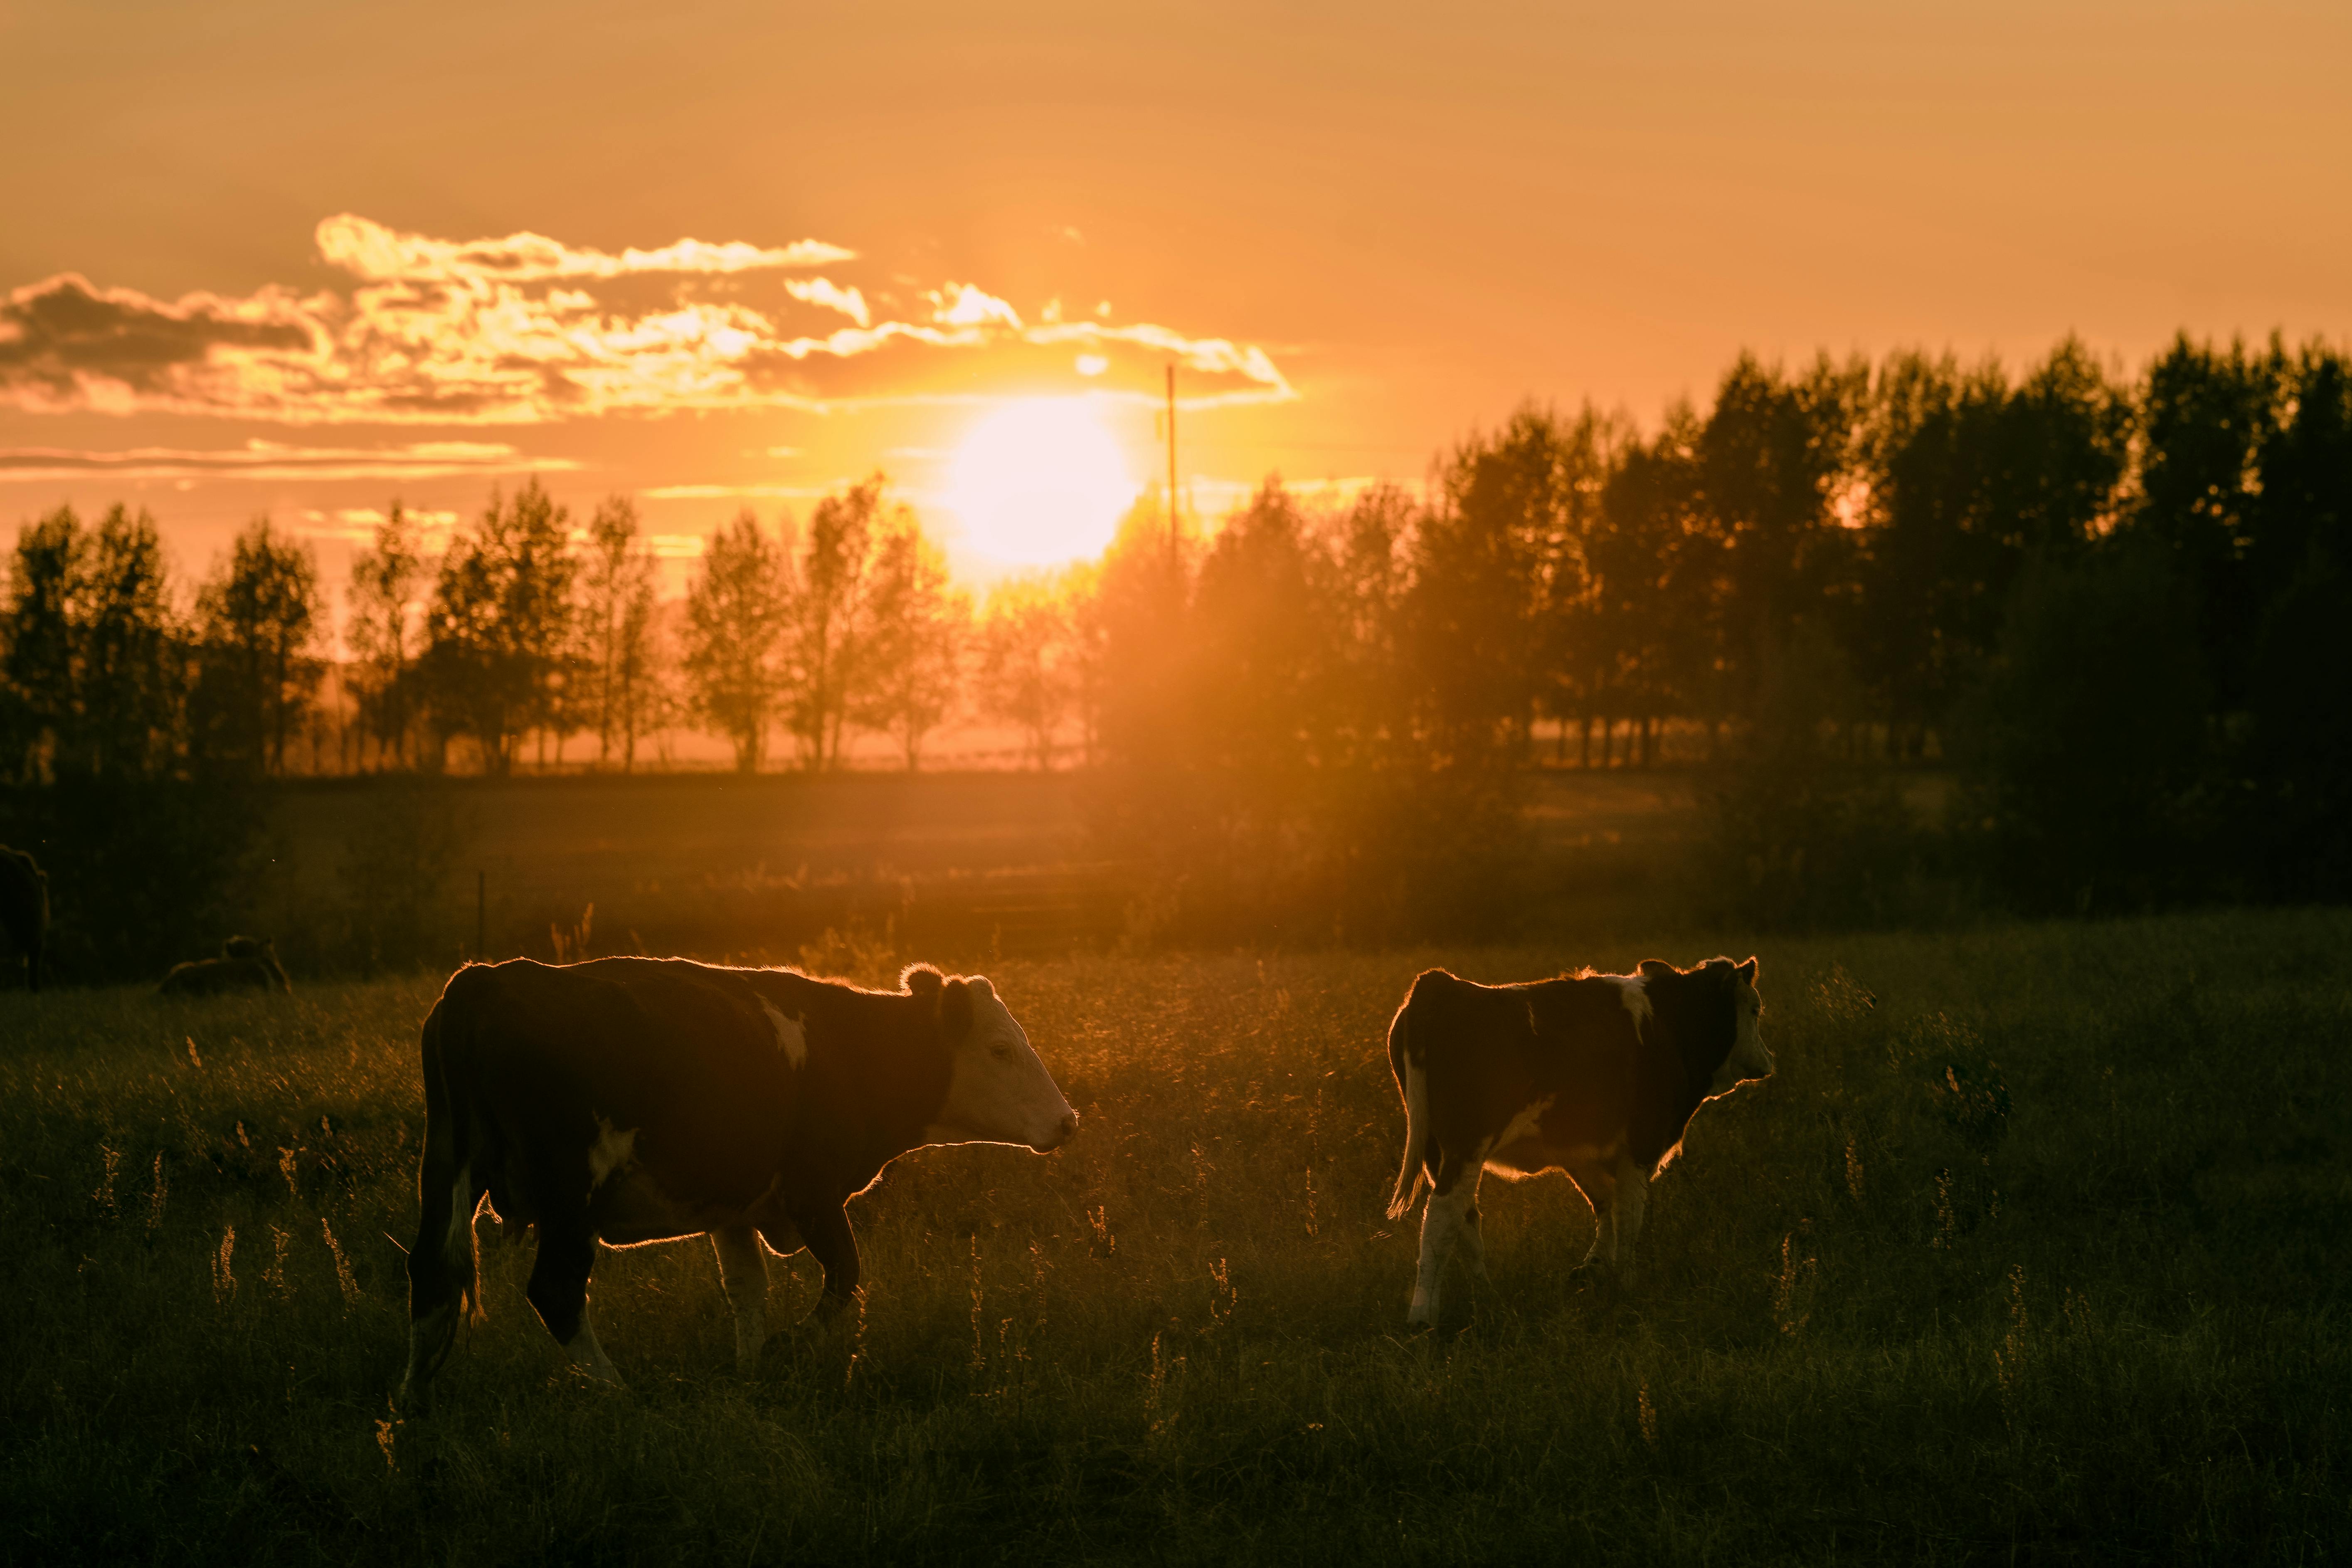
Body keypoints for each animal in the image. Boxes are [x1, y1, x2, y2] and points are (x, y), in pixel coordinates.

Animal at [397, 957, 1077, 1411]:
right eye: (1001, 1049)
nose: (1067, 1120)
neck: (847, 1048)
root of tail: (483, 981)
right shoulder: (812, 1192)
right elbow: (846, 1278)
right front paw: (785, 1351)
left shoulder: (735, 1208)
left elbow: (748, 1291)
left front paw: (751, 1372)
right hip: (571, 1197)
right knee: (556, 1291)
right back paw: (618, 1393)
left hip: (446, 1173)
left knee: (431, 1277)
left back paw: (411, 1407)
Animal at [1384, 955, 1772, 1328]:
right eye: (1756, 1009)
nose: (1768, 1061)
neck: (1670, 1024)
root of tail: (1444, 984)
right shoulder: (1641, 1145)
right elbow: (1628, 1217)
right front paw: (1625, 1285)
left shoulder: (1583, 1150)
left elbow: (1605, 1205)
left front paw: (1594, 1268)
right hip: (1465, 1147)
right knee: (1442, 1220)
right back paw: (1422, 1316)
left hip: (1437, 1151)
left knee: (1466, 1221)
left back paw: (1485, 1292)